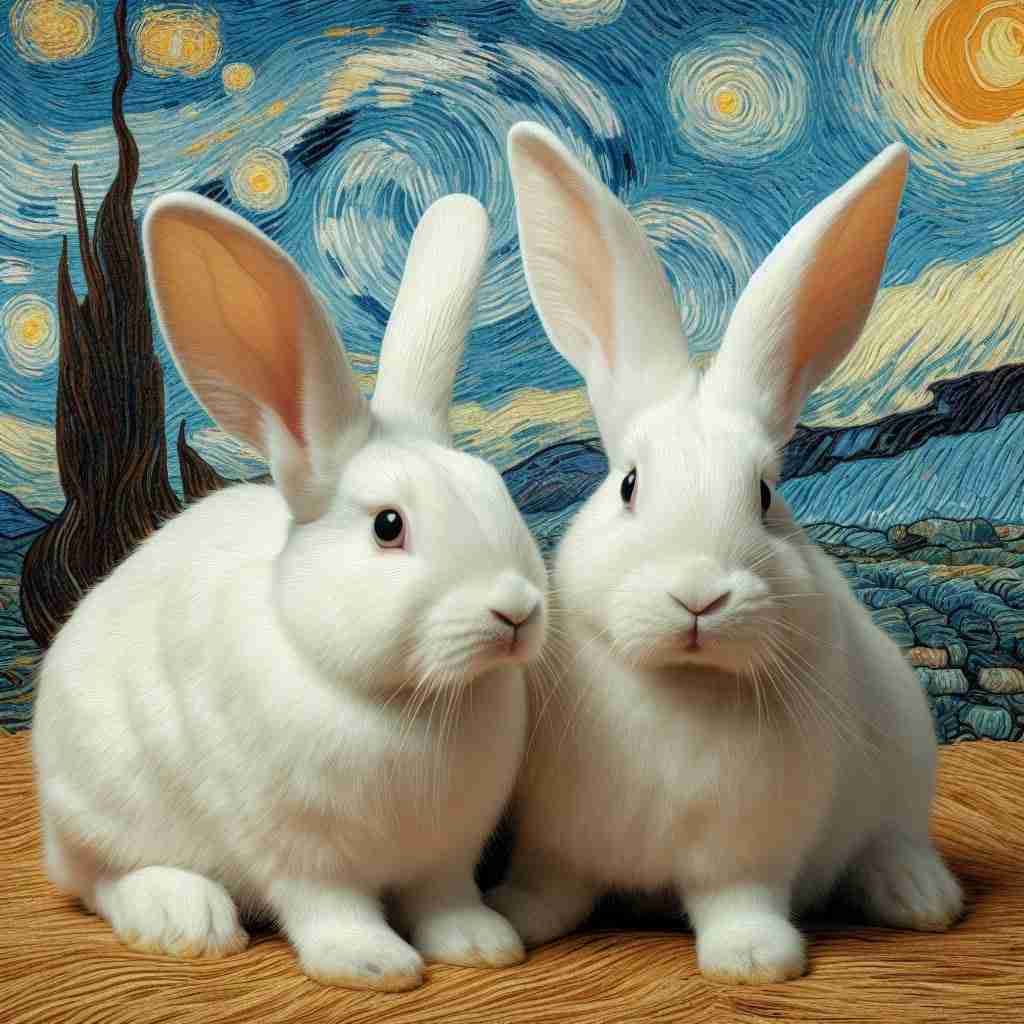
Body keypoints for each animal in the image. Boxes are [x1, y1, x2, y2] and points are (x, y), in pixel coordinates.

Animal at [31, 190, 548, 992]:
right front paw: (372, 964)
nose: (517, 609)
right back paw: (185, 918)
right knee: (98, 880)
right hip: (105, 801)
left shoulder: (446, 855)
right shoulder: (302, 852)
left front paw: (482, 944)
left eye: (496, 491)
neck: (403, 702)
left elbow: (446, 898)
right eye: (389, 526)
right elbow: (330, 907)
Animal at [486, 122, 963, 984]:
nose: (699, 596)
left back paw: (920, 898)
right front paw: (514, 917)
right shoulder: (557, 839)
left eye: (766, 495)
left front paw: (753, 960)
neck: (680, 685)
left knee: (892, 840)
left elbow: (740, 899)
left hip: (905, 769)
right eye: (629, 484)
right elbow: (549, 885)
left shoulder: (747, 853)